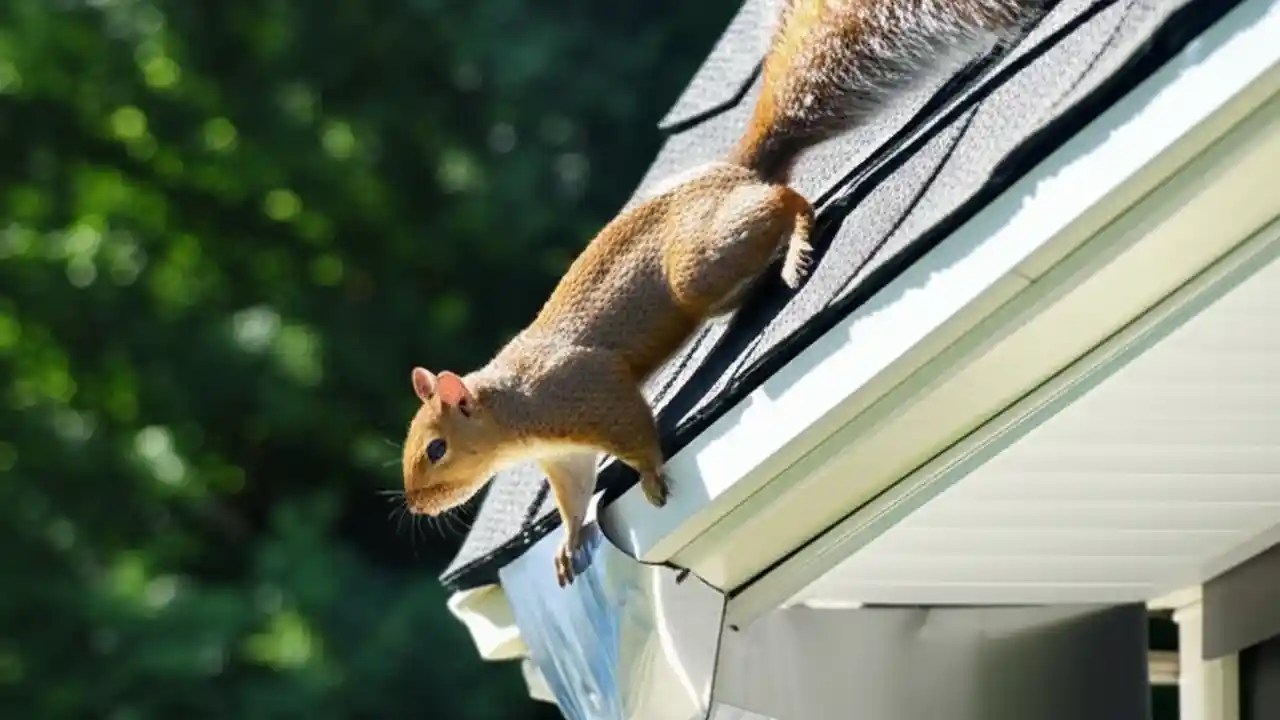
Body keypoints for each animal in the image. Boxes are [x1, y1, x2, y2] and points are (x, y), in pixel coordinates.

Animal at [403, 0, 1044, 586]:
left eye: (435, 449)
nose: (415, 505)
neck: (512, 410)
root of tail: (734, 174)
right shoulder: (564, 456)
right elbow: (575, 493)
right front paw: (568, 540)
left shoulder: (583, 388)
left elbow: (632, 428)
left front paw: (650, 474)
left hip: (701, 264)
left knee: (785, 199)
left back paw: (799, 239)